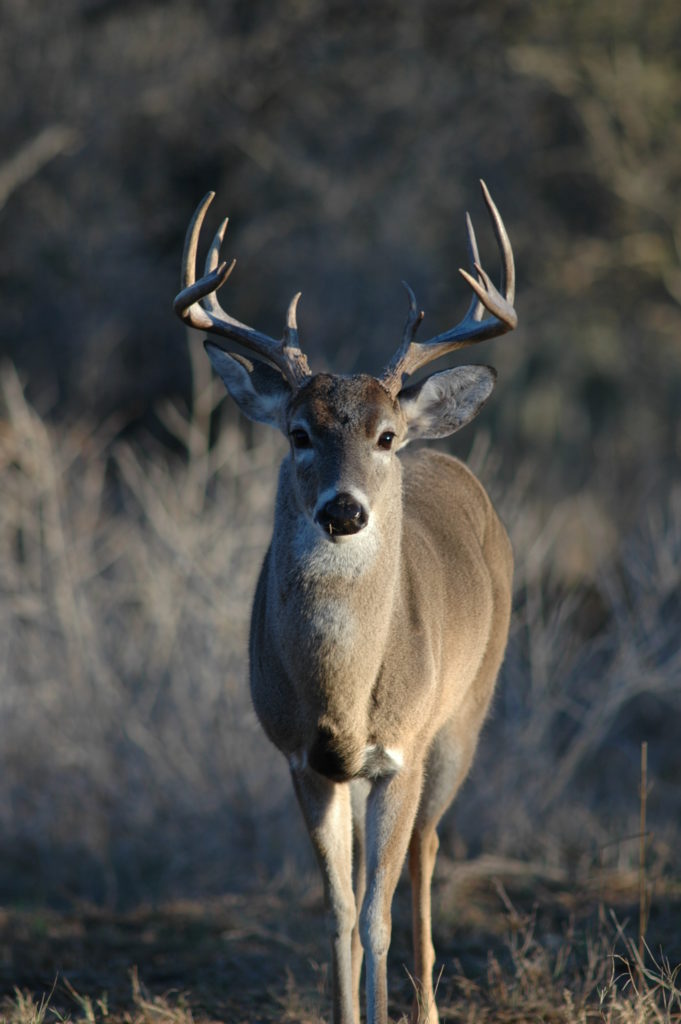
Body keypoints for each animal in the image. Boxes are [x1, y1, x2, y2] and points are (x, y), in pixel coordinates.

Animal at [173, 181, 517, 1024]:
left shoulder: (401, 751)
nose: (344, 509)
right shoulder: (302, 758)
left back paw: (427, 1005)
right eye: (298, 431)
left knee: (426, 851)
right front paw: (345, 1009)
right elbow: (336, 910)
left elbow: (376, 913)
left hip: (465, 712)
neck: (343, 695)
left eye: (385, 435)